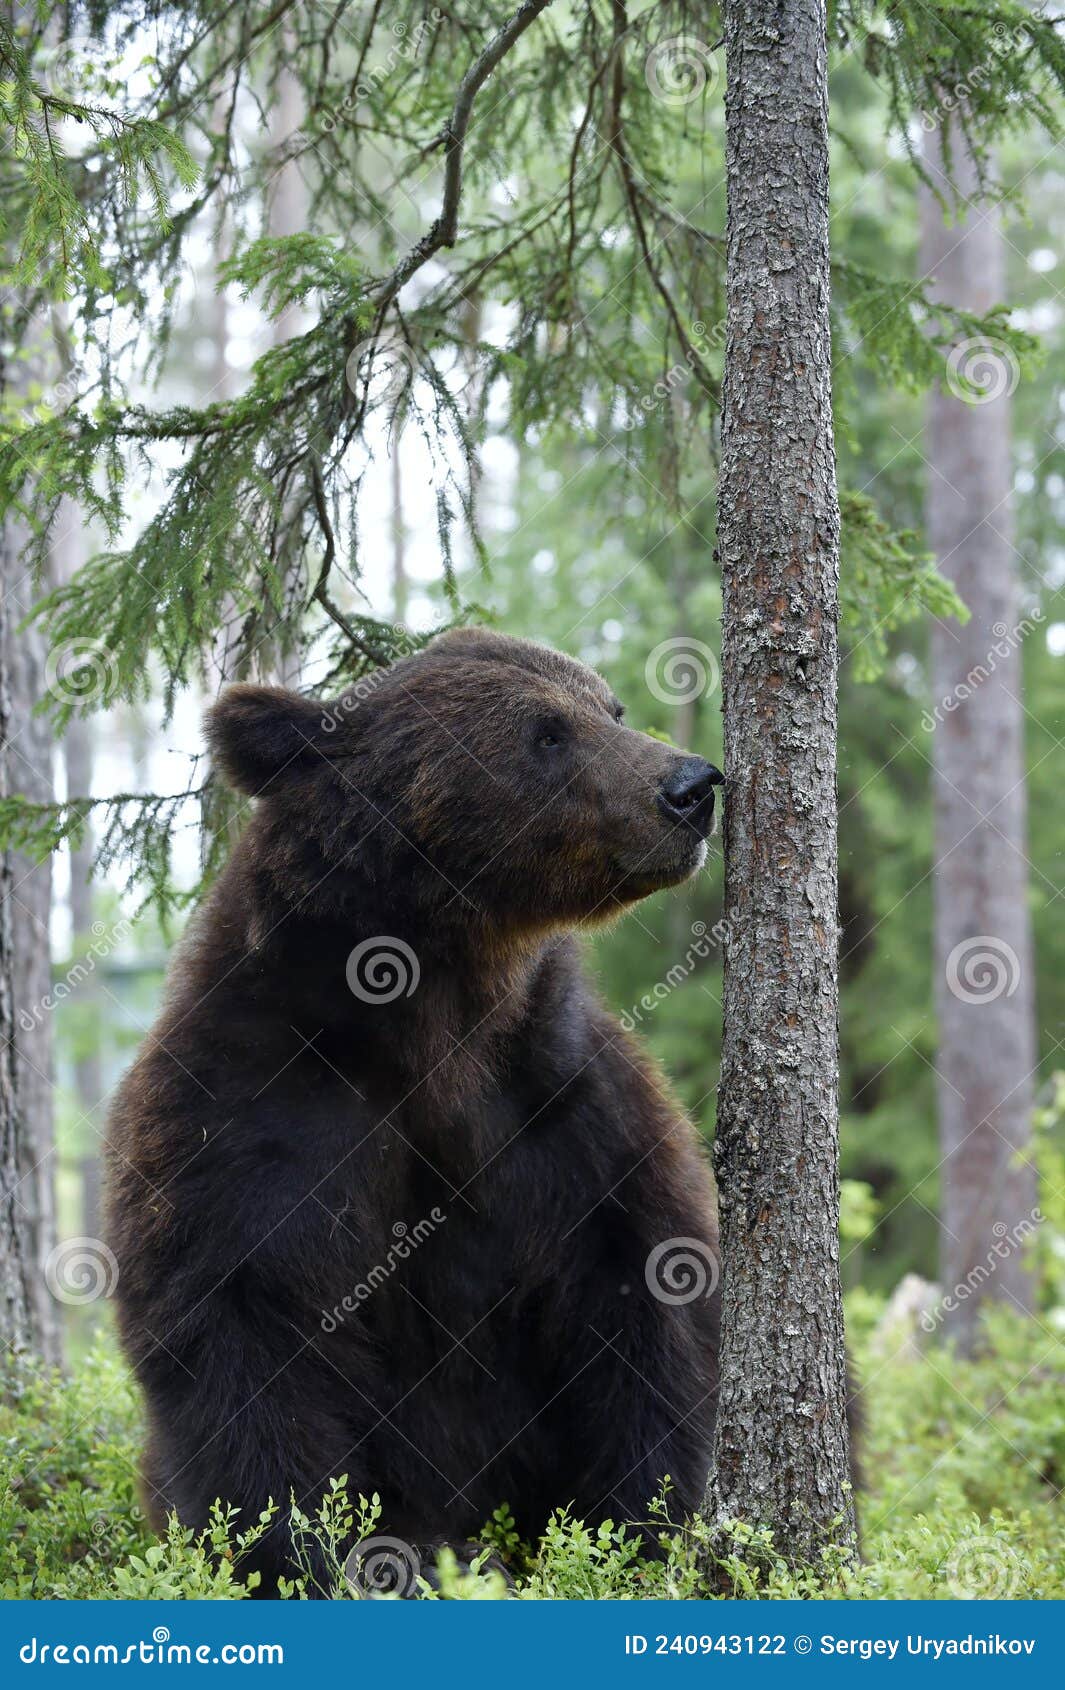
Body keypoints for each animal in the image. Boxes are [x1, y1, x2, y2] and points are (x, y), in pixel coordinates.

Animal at [106, 627, 725, 1595]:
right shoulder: (255, 1109)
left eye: (610, 707)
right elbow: (249, 1330)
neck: (439, 1008)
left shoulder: (561, 1097)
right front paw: (320, 1556)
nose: (691, 786)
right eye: (545, 734)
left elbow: (644, 1286)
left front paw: (637, 1530)